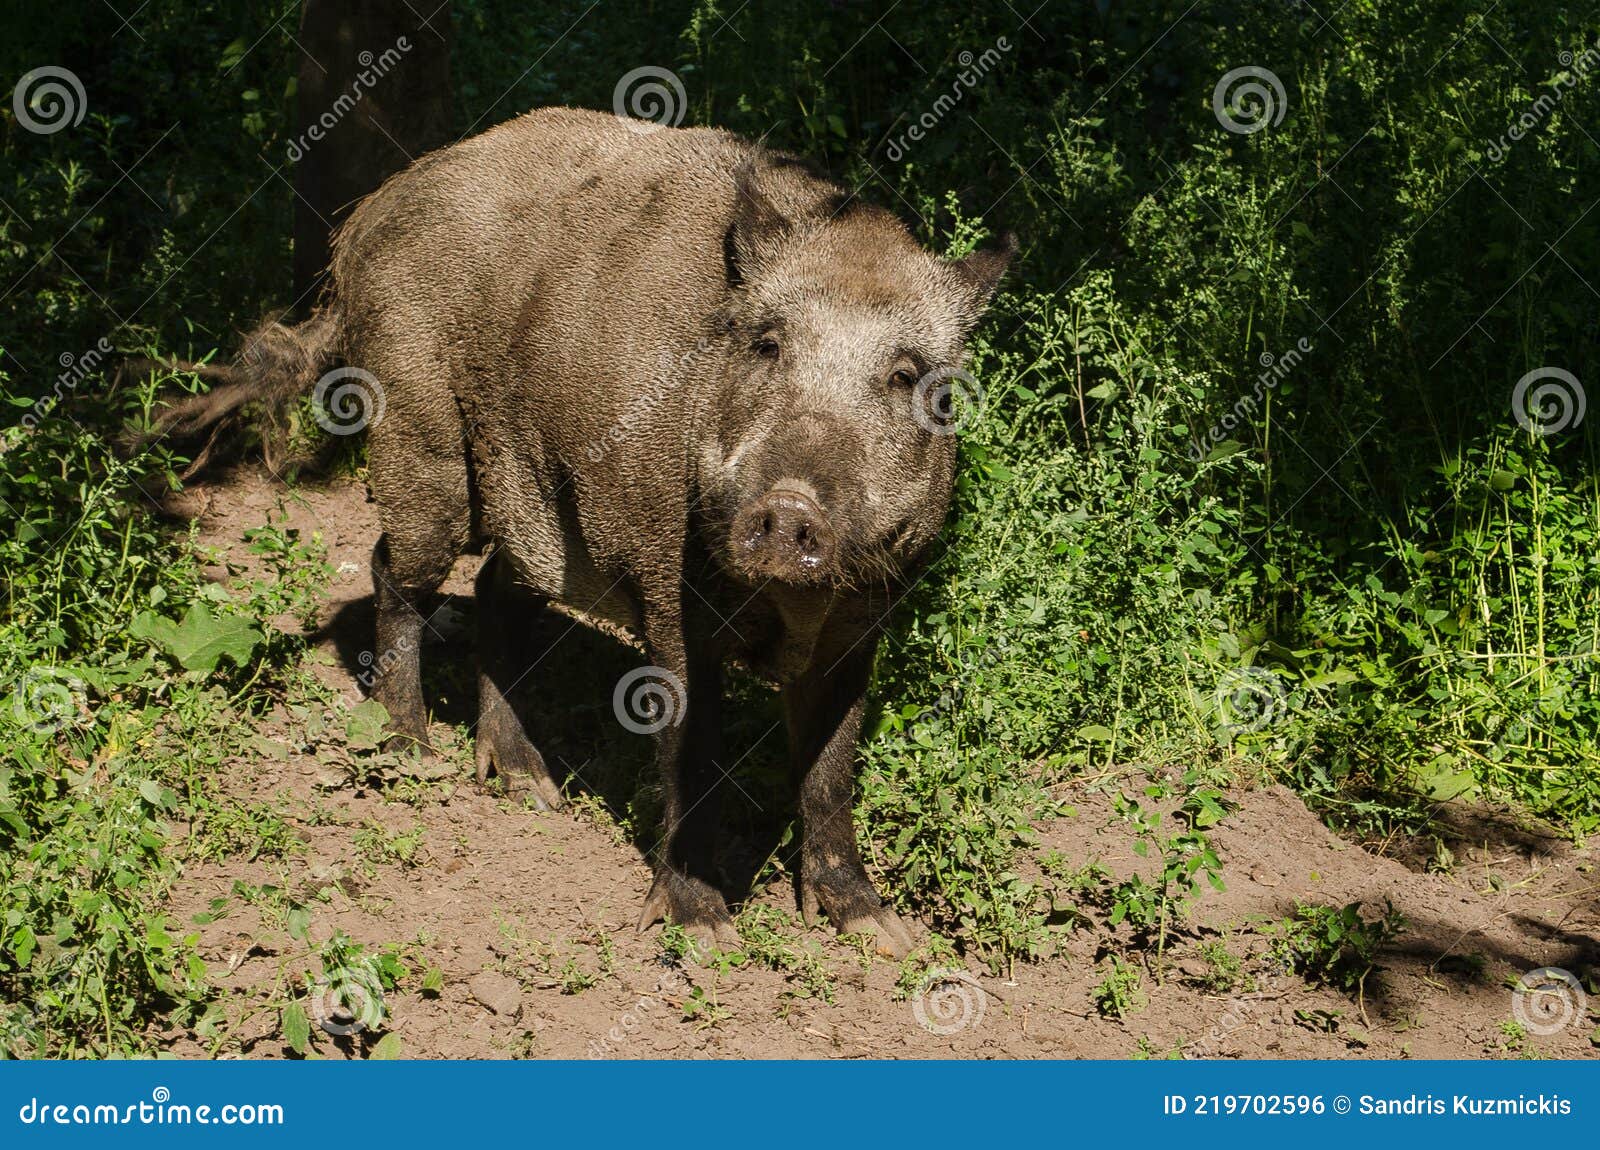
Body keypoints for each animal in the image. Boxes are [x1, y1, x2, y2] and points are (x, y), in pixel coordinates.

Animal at [155, 106, 1012, 956]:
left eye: (906, 376)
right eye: (768, 345)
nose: (791, 505)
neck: (790, 611)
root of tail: (371, 215)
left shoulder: (866, 617)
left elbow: (833, 767)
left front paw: (883, 936)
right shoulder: (669, 586)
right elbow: (693, 751)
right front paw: (705, 938)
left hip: (536, 497)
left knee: (496, 588)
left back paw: (532, 791)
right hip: (416, 427)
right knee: (394, 571)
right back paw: (412, 753)